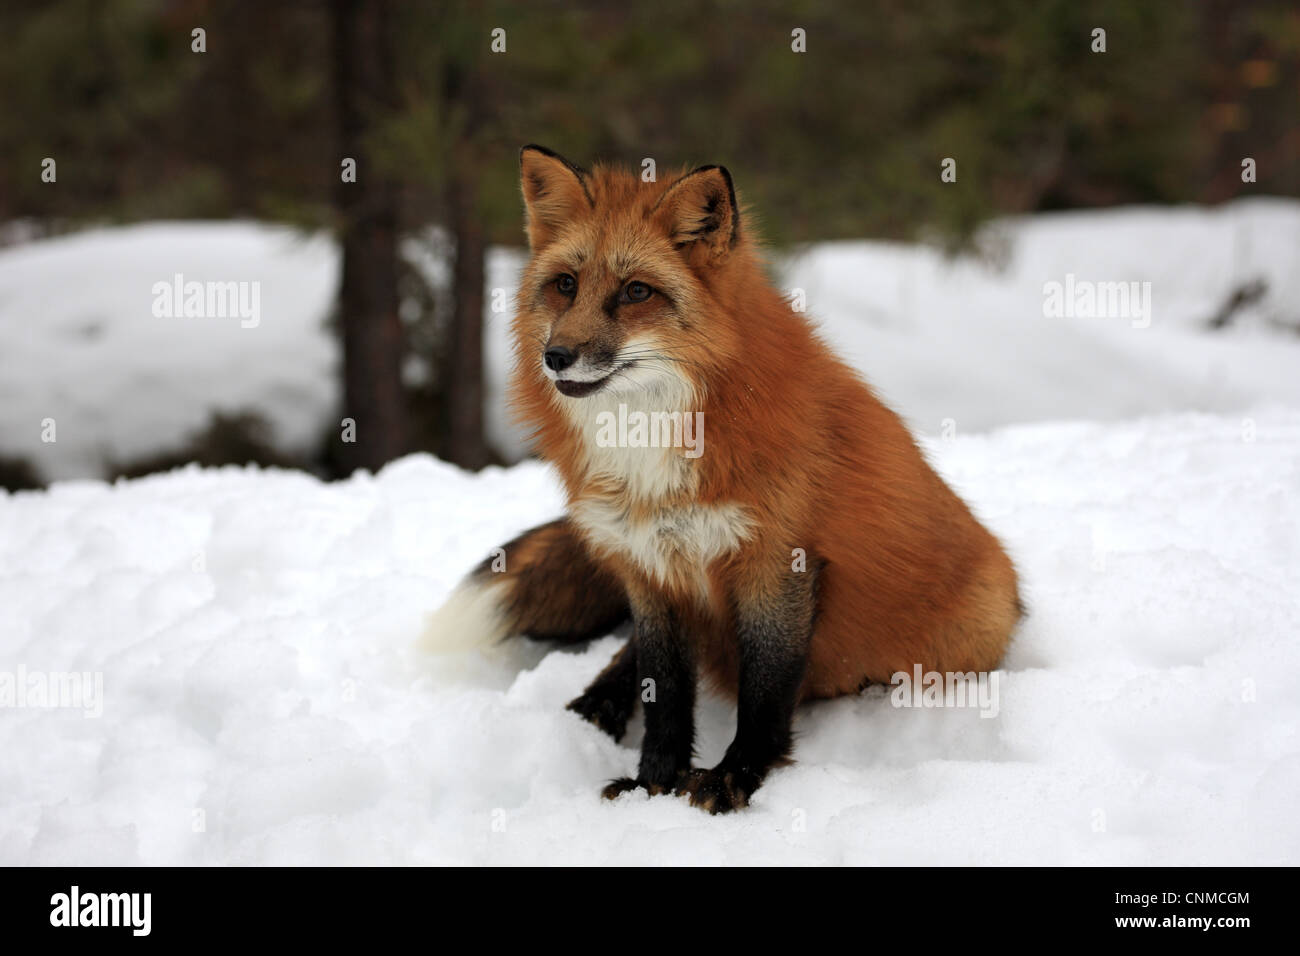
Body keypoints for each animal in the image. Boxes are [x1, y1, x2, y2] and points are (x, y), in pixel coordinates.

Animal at [424, 145, 1022, 813]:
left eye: (636, 291)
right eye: (566, 285)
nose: (556, 357)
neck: (650, 456)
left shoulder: (775, 562)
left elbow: (764, 691)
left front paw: (734, 778)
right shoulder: (649, 566)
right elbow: (663, 689)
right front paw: (652, 783)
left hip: (966, 631)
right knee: (629, 656)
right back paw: (596, 704)